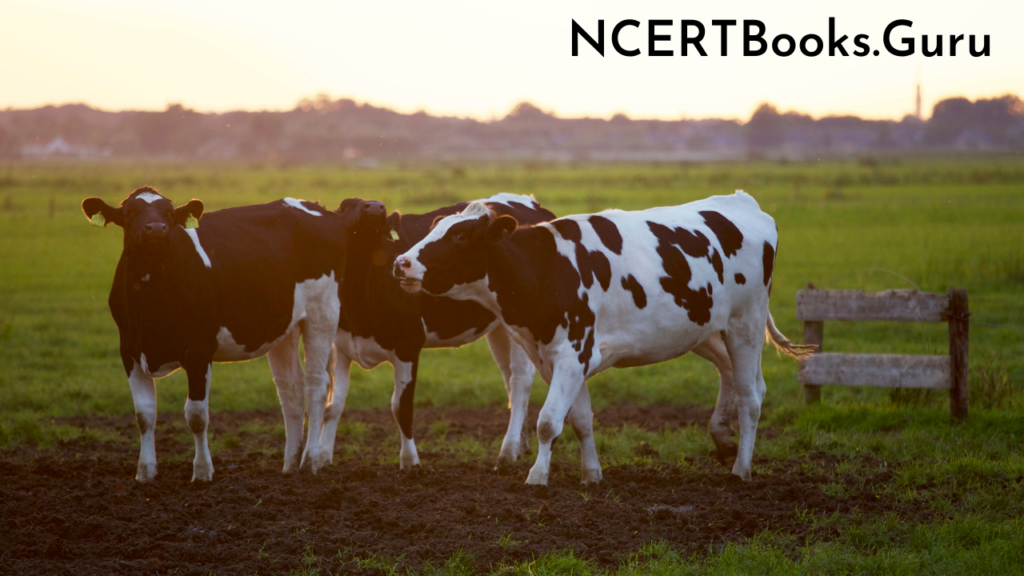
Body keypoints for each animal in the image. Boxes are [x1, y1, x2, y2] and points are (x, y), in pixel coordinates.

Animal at [82, 187, 352, 482]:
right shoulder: (129, 350)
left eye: (169, 213)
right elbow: (144, 414)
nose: (156, 229)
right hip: (285, 326)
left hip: (322, 313)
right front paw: (145, 472)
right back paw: (290, 464)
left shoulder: (199, 351)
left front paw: (202, 472)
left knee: (317, 385)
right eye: (131, 212)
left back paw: (309, 461)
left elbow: (196, 415)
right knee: (291, 389)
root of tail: (316, 206)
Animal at [317, 194, 556, 469]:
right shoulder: (341, 346)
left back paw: (508, 451)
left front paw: (410, 462)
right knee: (508, 379)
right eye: (346, 205)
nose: (375, 207)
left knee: (519, 382)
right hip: (500, 328)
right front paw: (322, 459)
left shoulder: (408, 344)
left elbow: (401, 407)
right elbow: (333, 405)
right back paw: (521, 445)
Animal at [393, 190, 813, 485]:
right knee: (737, 378)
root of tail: (742, 202)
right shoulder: (557, 358)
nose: (401, 263)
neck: (546, 269)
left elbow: (548, 421)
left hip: (746, 323)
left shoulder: (572, 353)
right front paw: (591, 474)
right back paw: (723, 440)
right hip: (704, 329)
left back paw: (741, 469)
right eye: (434, 228)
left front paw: (537, 477)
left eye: (461, 236)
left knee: (751, 397)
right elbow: (580, 419)